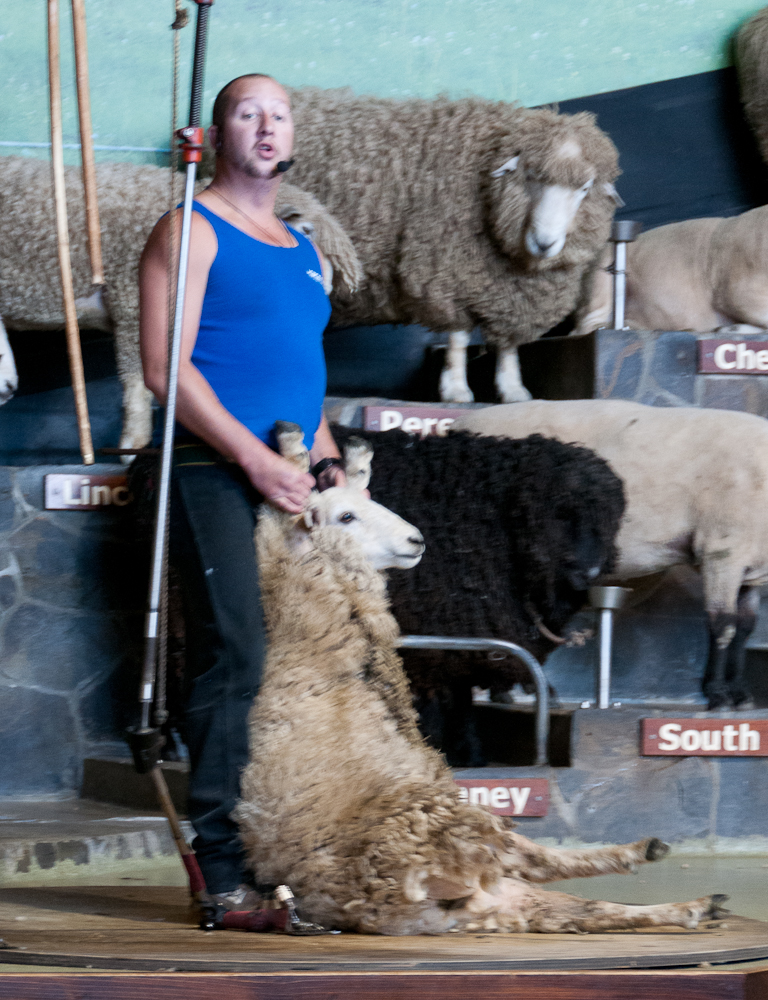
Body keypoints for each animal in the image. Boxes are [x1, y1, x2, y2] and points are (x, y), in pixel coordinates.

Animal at [200, 87, 621, 405]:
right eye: (532, 176)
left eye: (584, 189)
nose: (545, 242)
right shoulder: (445, 267)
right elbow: (458, 335)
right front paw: (456, 390)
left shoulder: (505, 289)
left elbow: (507, 345)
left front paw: (512, 388)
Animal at [331, 426, 625, 766]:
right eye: (559, 512)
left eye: (609, 519)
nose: (589, 574)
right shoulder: (437, 633)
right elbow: (448, 697)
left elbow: (461, 697)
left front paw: (466, 752)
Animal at [454, 398, 768, 710]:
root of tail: (458, 425)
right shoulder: (723, 550)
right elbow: (723, 624)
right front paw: (717, 693)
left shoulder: (750, 566)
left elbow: (745, 628)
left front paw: (740, 694)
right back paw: (538, 691)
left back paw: (505, 691)